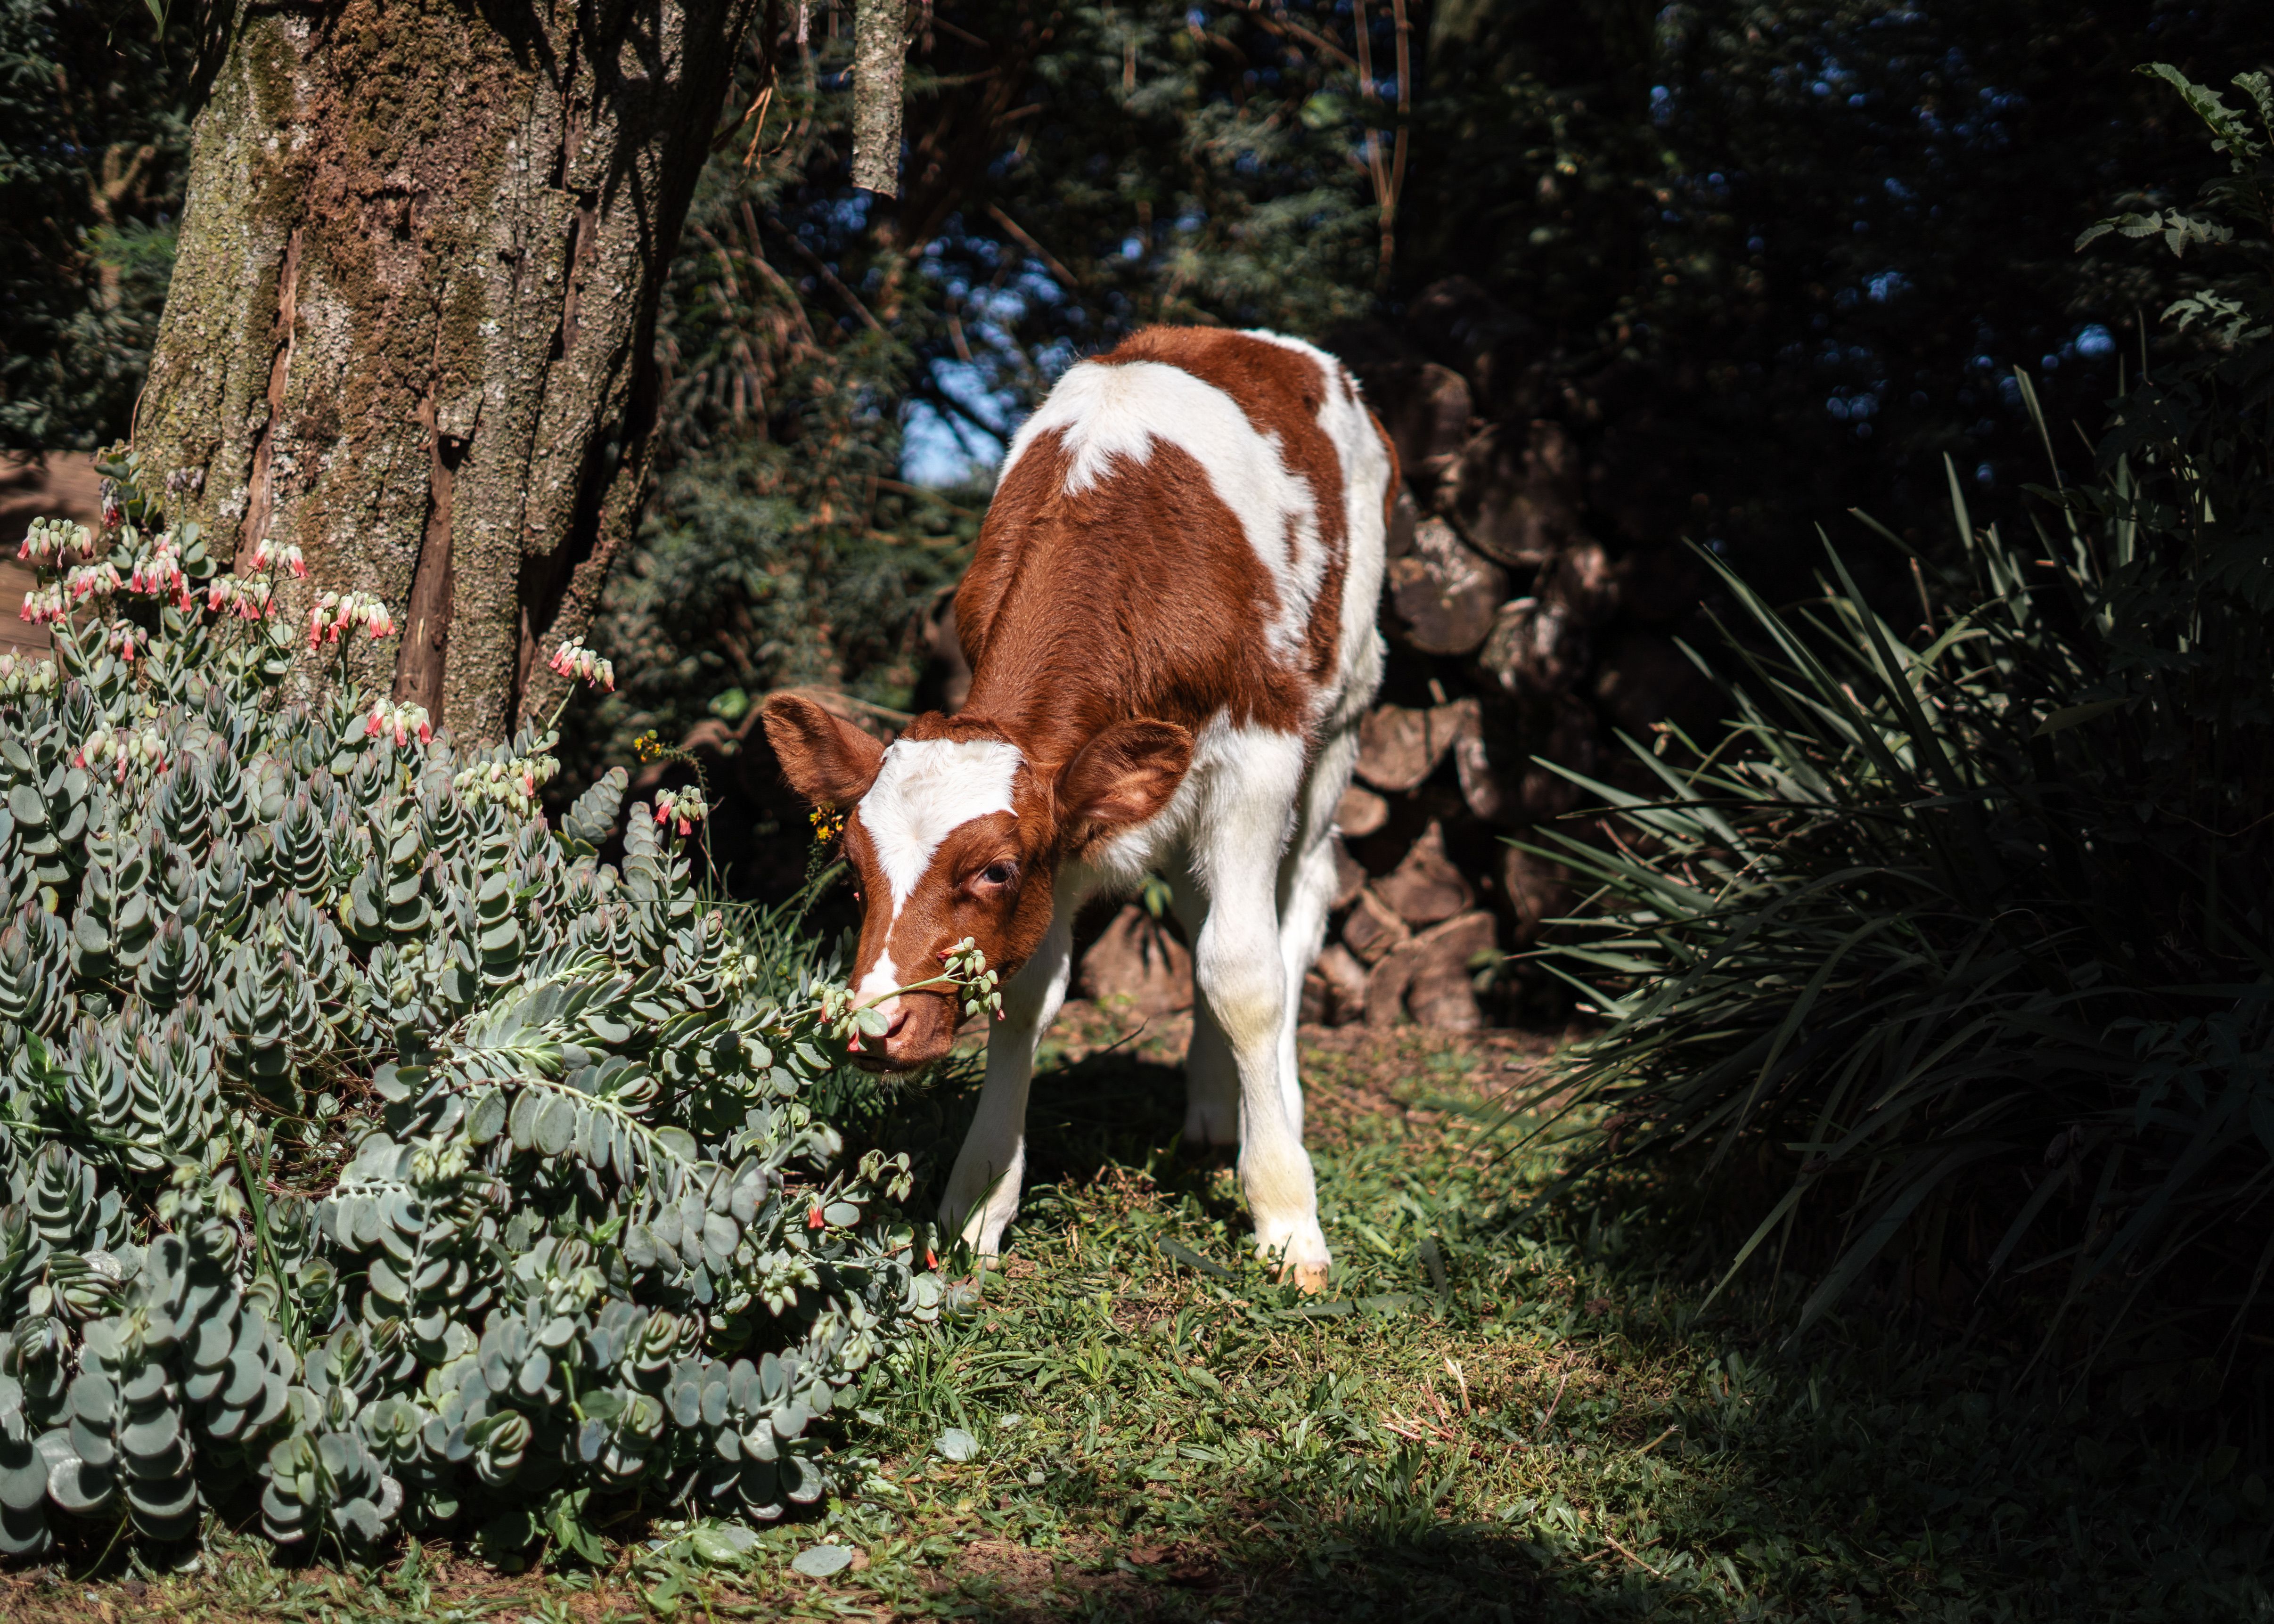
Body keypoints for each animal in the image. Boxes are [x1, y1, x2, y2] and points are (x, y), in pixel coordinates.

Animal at [760, 326, 1394, 1289]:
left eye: (993, 869)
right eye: (855, 870)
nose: (874, 1026)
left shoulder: (1259, 754)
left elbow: (1246, 976)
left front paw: (1287, 1219)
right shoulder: (1065, 828)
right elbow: (1029, 992)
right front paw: (980, 1201)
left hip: (1344, 711)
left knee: (1299, 907)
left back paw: (1275, 1106)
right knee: (1202, 910)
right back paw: (1215, 1107)